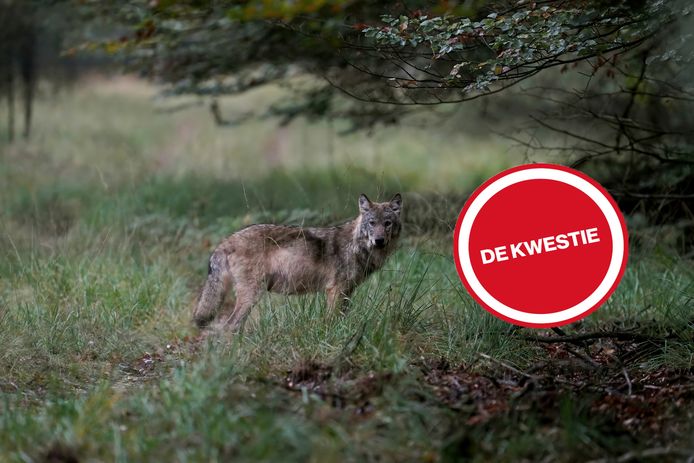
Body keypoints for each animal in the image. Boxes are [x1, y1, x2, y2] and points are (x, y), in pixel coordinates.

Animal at [193, 193, 402, 331]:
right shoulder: (335, 290)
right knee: (230, 326)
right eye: (372, 223)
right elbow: (331, 320)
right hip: (252, 295)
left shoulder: (347, 292)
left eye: (387, 223)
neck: (356, 246)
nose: (379, 241)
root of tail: (226, 241)